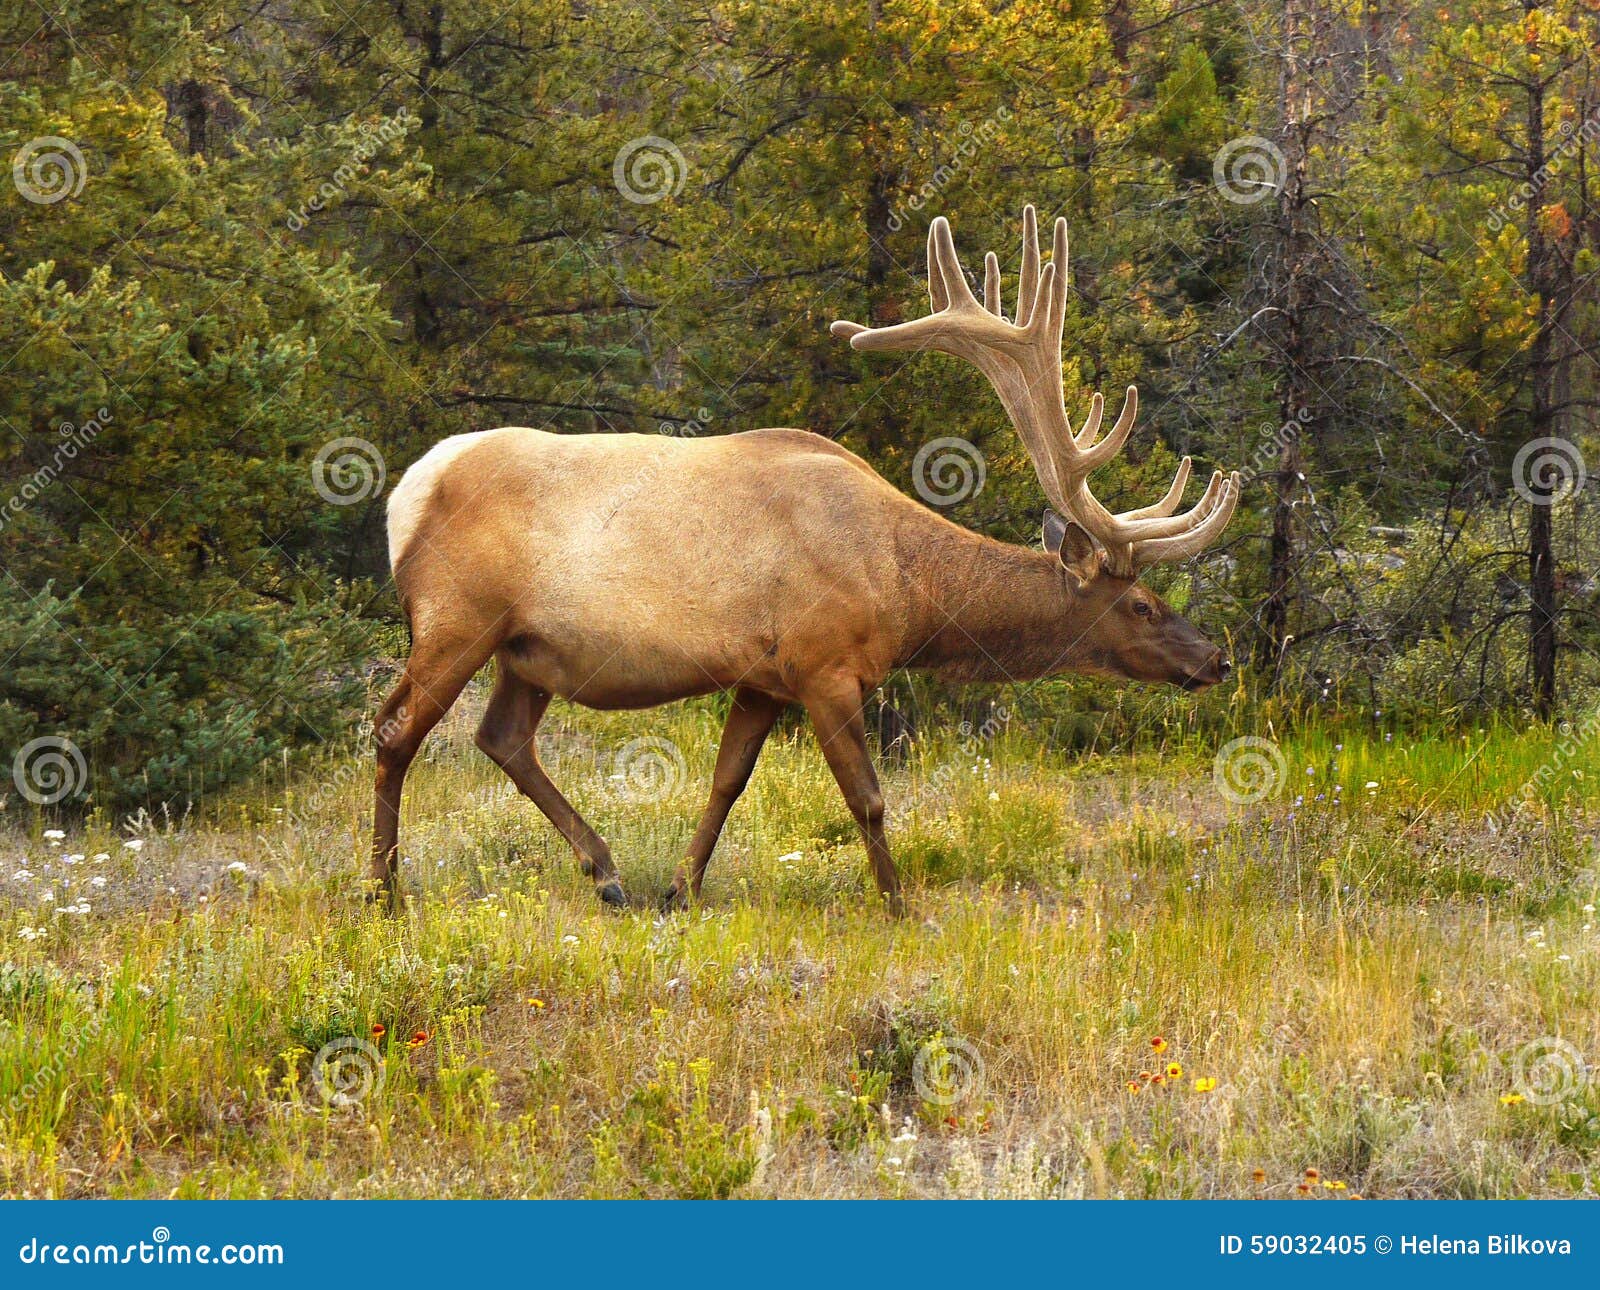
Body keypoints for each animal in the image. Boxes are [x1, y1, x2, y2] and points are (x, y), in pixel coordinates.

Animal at [372, 206, 1240, 916]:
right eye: (1143, 605)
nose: (1217, 659)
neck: (906, 593)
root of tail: (406, 492)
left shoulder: (764, 676)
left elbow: (726, 781)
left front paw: (680, 889)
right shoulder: (825, 664)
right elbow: (868, 798)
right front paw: (898, 906)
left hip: (527, 649)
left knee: (501, 737)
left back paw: (607, 872)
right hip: (457, 617)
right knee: (394, 732)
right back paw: (383, 889)